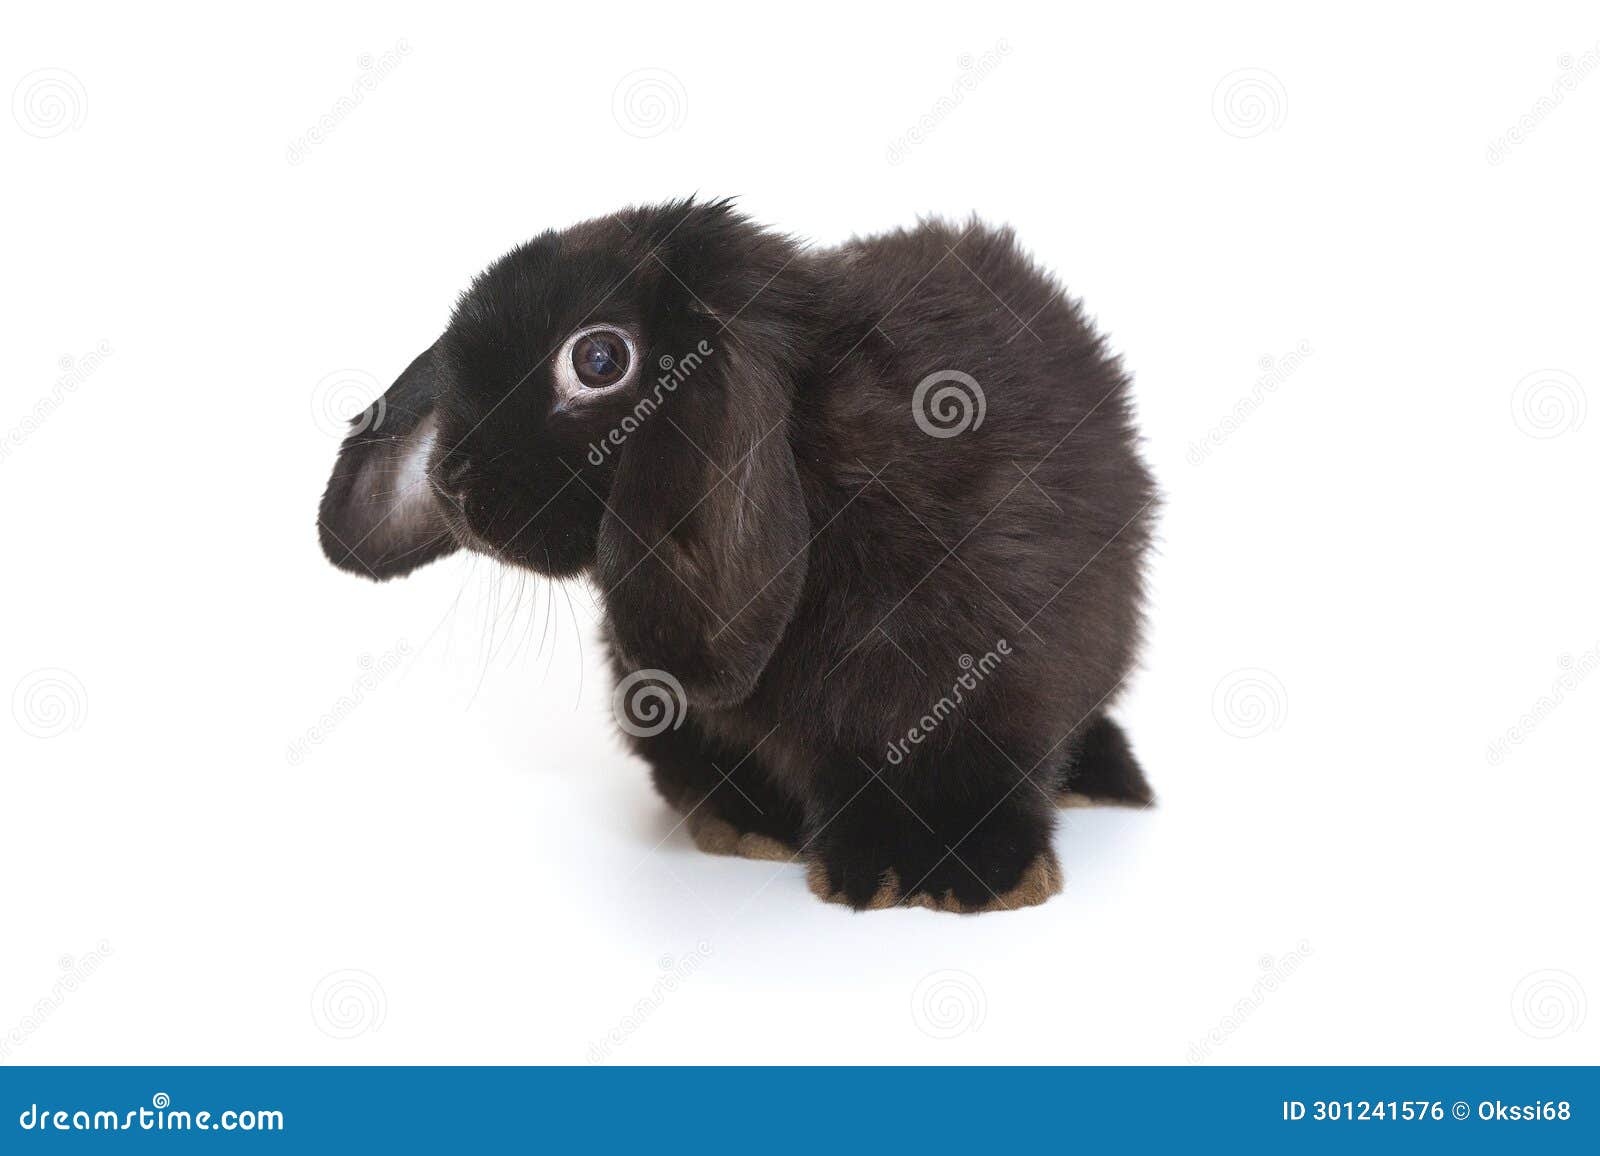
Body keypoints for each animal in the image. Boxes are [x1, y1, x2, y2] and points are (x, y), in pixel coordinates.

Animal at [318, 198, 1156, 913]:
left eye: (598, 360)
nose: (448, 482)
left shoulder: (993, 673)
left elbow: (970, 770)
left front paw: (951, 876)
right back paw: (751, 822)